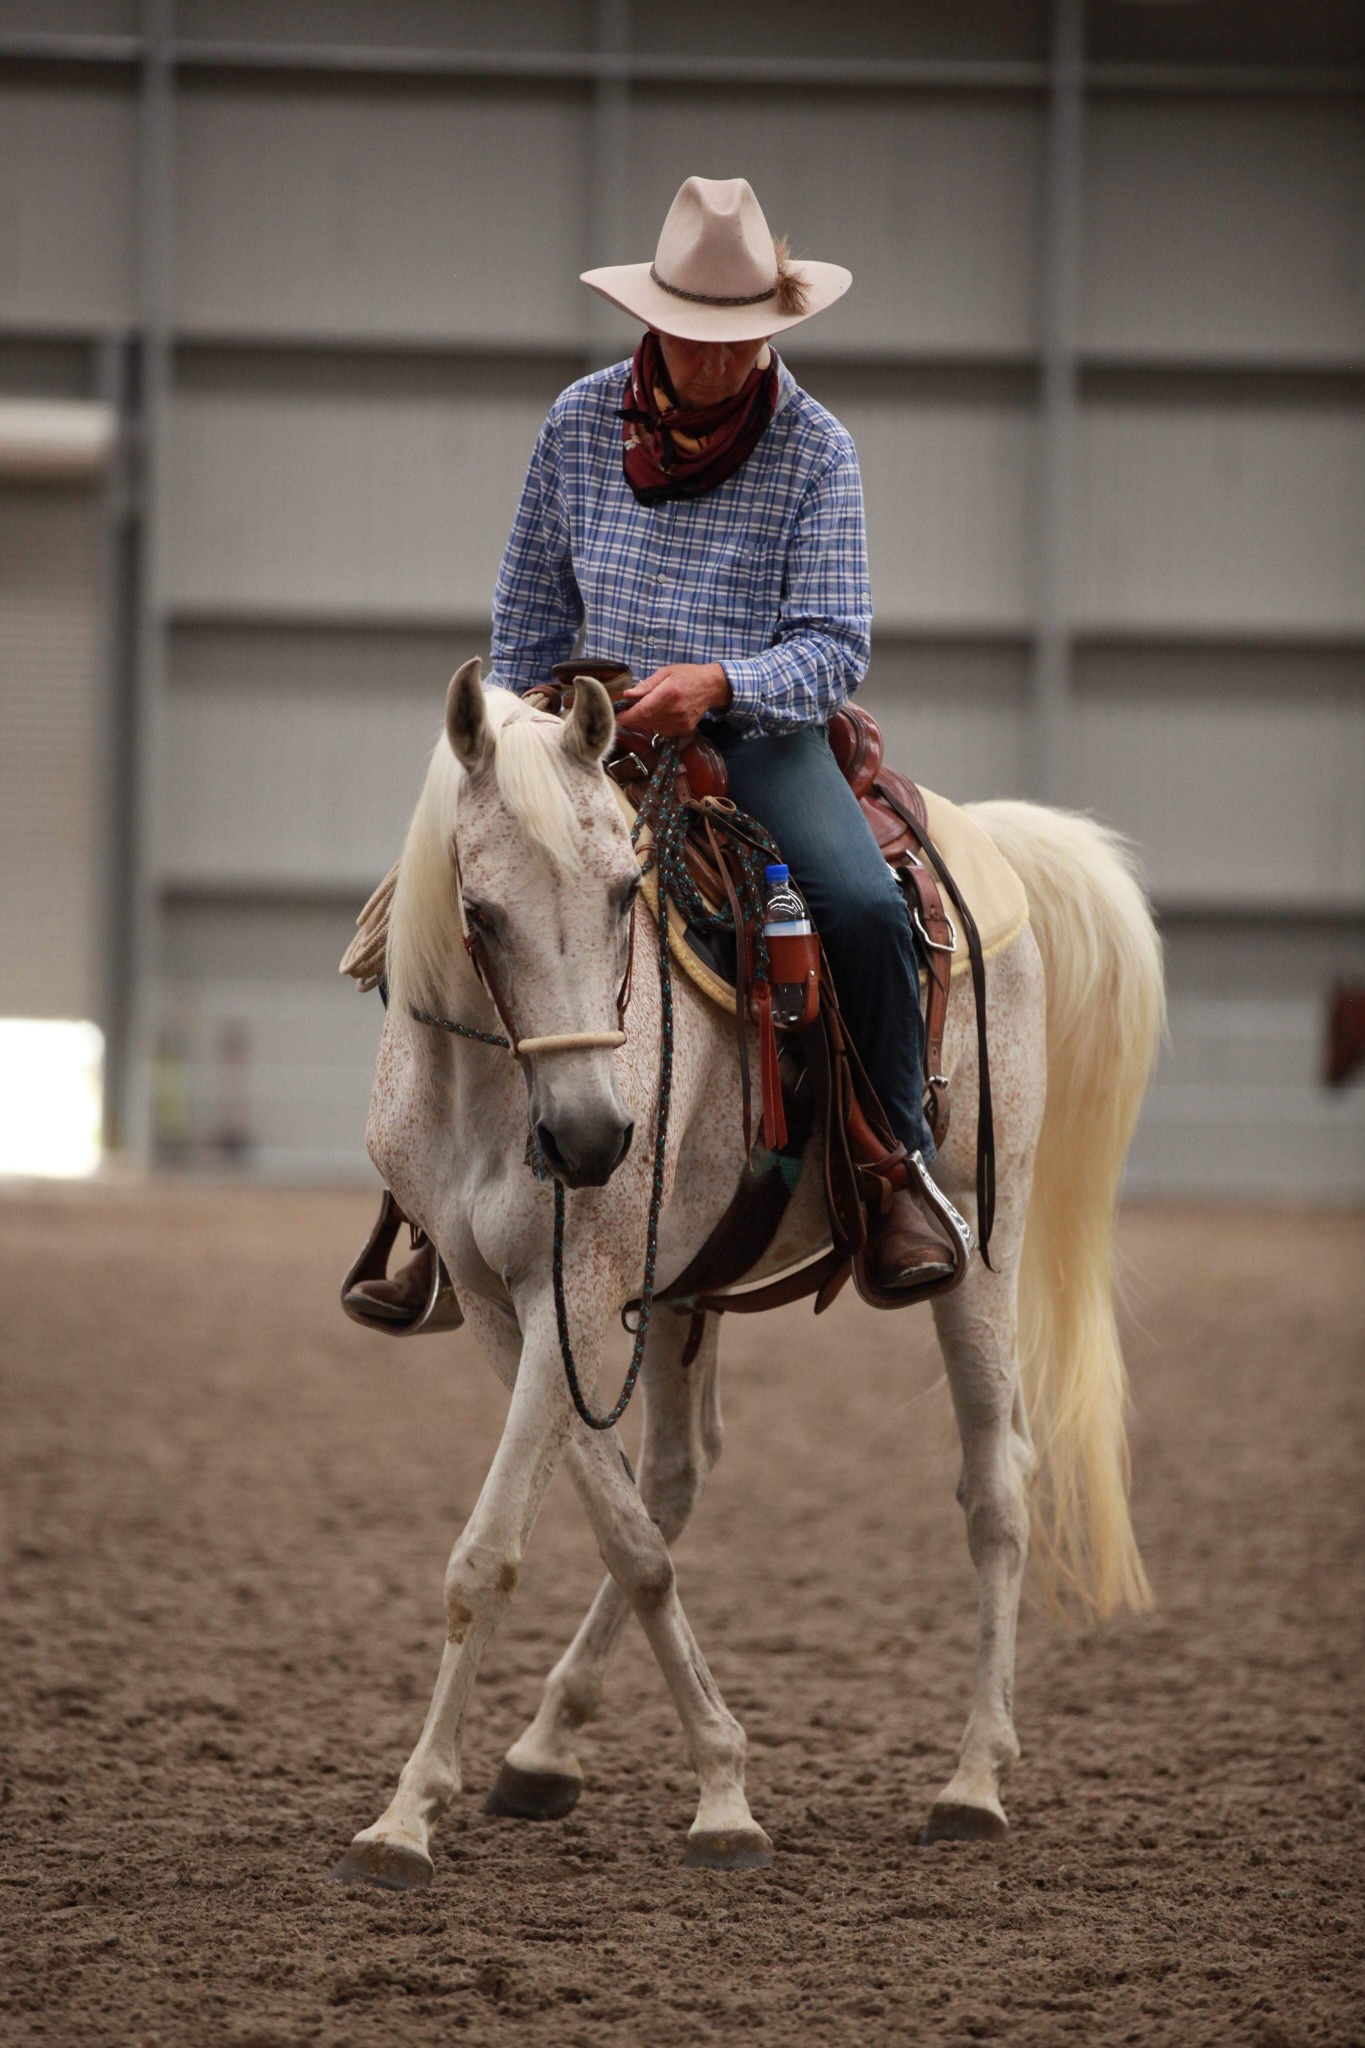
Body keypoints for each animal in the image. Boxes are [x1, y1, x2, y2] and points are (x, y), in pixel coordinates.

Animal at [330, 658, 1165, 1890]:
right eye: (479, 913)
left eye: (624, 893)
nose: (592, 1139)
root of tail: (984, 838)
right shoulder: (499, 1307)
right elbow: (626, 1534)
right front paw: (713, 1780)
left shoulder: (575, 1295)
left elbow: (489, 1551)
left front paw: (404, 1817)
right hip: (687, 1290)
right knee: (678, 1477)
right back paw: (544, 1749)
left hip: (983, 1246)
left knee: (998, 1487)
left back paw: (973, 1782)